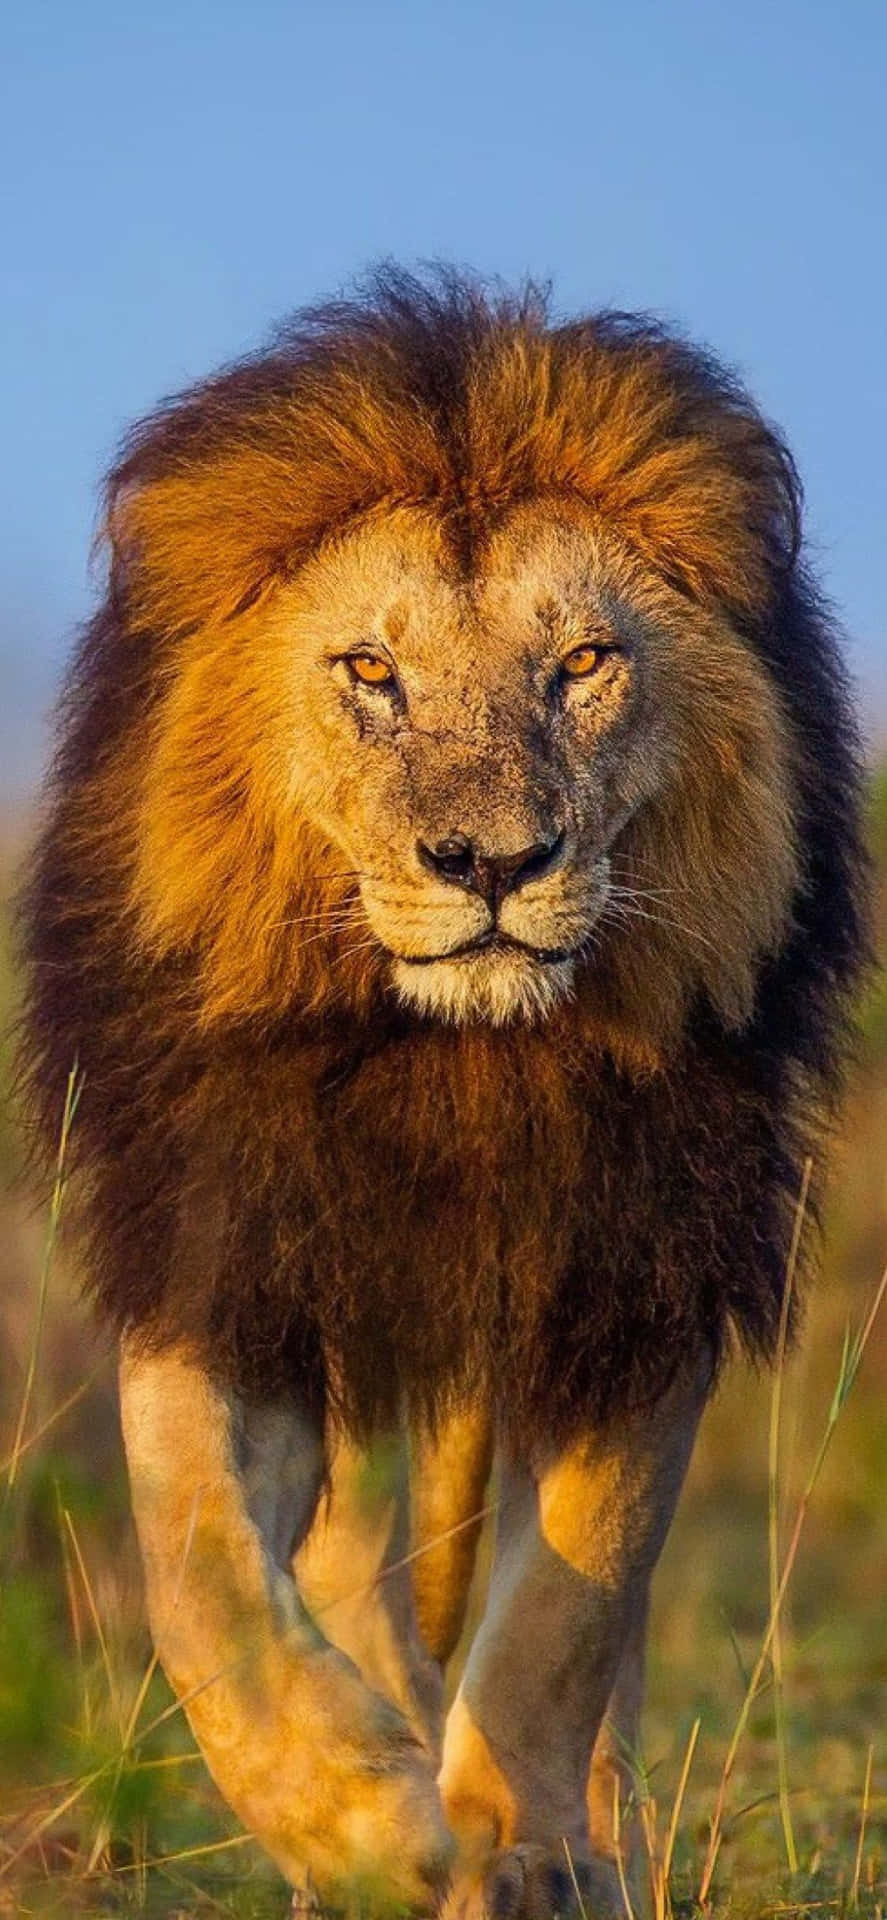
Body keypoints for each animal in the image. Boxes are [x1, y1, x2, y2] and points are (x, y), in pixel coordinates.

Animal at [20, 268, 867, 1916]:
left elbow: (567, 1612)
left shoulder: (633, 1269)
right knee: (346, 1568)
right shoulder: (233, 1256)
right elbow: (200, 1565)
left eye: (581, 663)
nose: (490, 864)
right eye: (370, 670)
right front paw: (360, 1823)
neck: (458, 1066)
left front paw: (521, 1848)